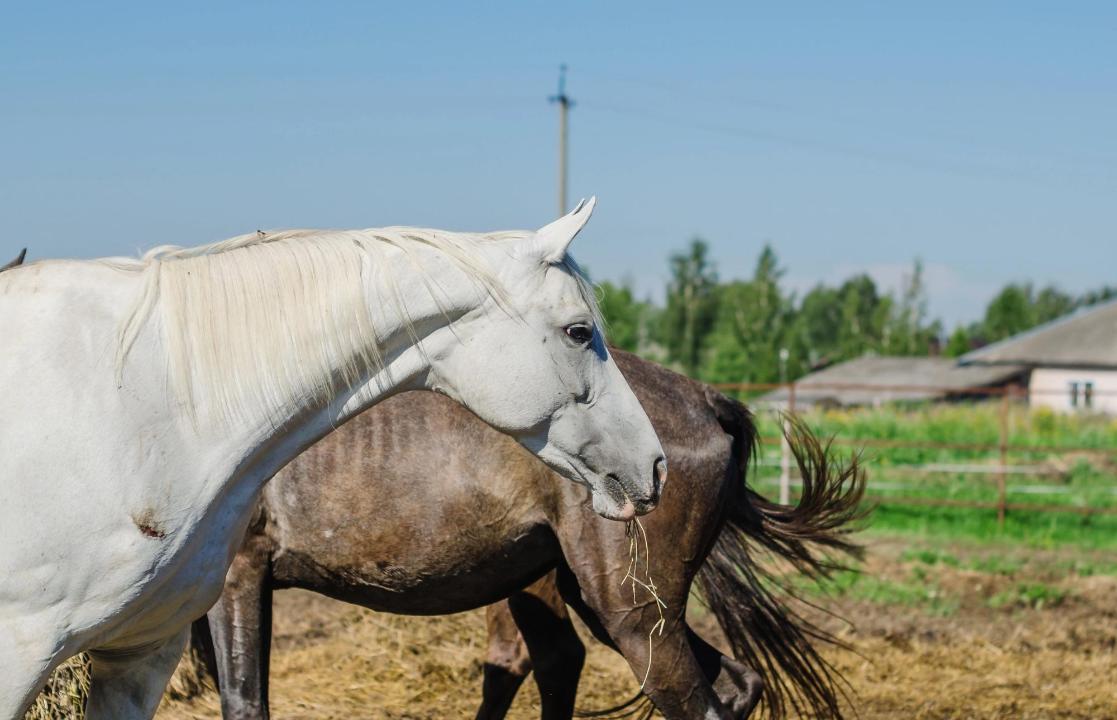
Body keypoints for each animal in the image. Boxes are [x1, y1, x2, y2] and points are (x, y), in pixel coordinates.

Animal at [192, 348, 862, 714]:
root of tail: (704, 399)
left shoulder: (239, 577)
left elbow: (244, 698)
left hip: (628, 614)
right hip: (604, 602)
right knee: (736, 684)